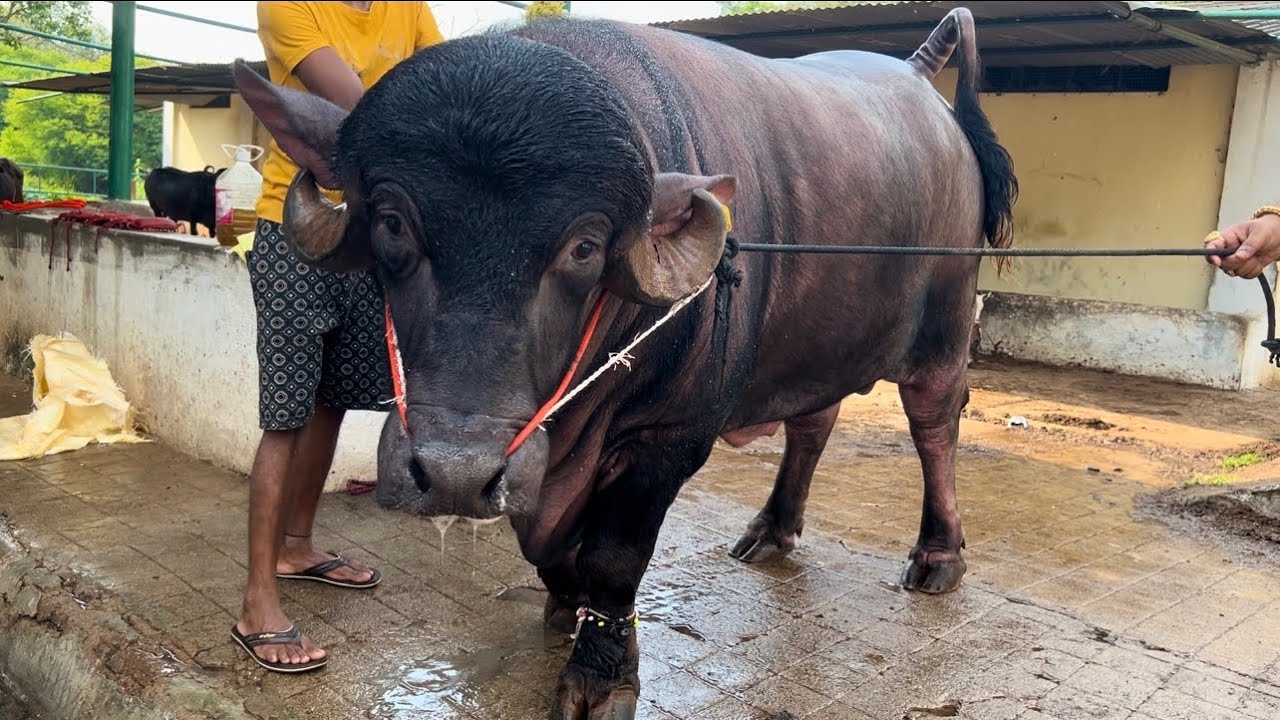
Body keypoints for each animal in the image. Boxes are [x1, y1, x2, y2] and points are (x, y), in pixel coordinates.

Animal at [232, 7, 1016, 718]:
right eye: (393, 223)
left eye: (584, 247)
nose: (454, 473)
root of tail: (919, 75)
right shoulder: (537, 457)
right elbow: (548, 546)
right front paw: (563, 604)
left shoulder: (666, 441)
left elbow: (613, 558)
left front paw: (600, 673)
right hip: (819, 341)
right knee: (812, 422)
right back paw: (772, 528)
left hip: (944, 329)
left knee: (935, 426)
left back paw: (938, 555)